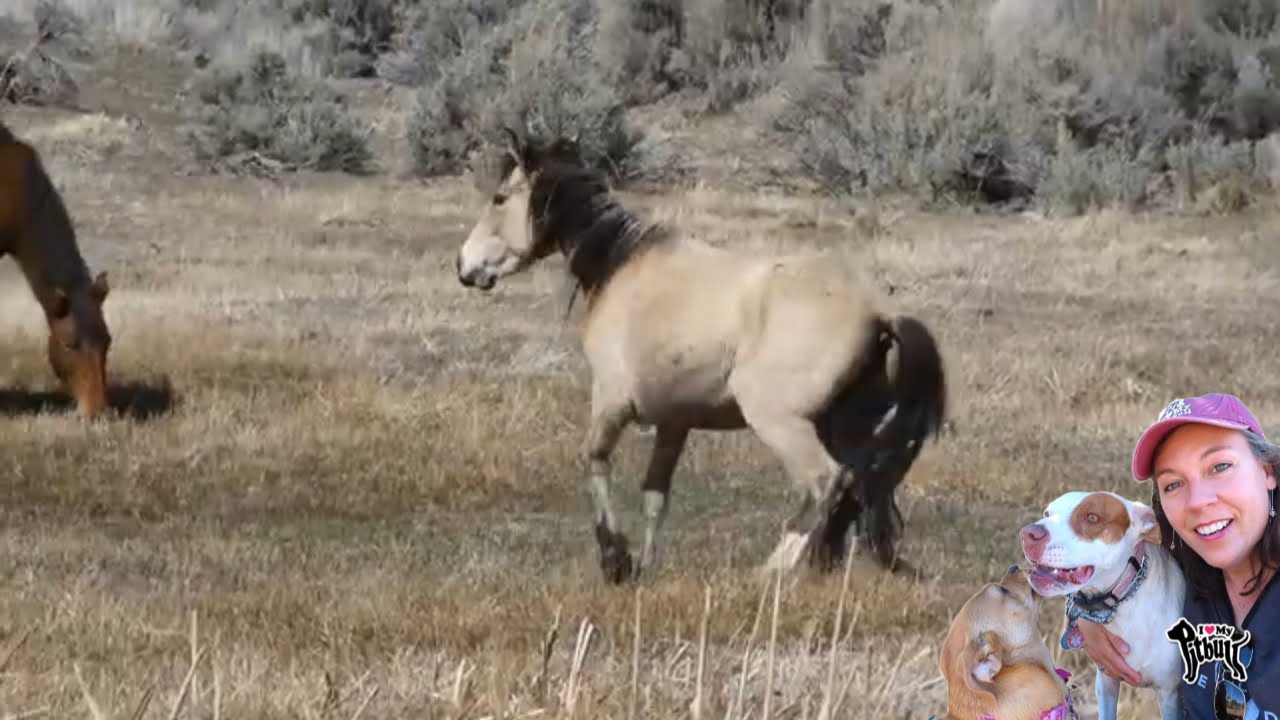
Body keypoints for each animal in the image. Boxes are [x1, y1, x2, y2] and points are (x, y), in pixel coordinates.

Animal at [454, 131, 947, 584]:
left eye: (500, 197)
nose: (464, 266)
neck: (622, 266)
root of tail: (881, 316)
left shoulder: (612, 402)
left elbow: (593, 462)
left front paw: (616, 559)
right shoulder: (675, 423)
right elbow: (655, 494)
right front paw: (644, 568)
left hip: (781, 423)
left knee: (825, 483)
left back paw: (768, 573)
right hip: (845, 431)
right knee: (851, 496)